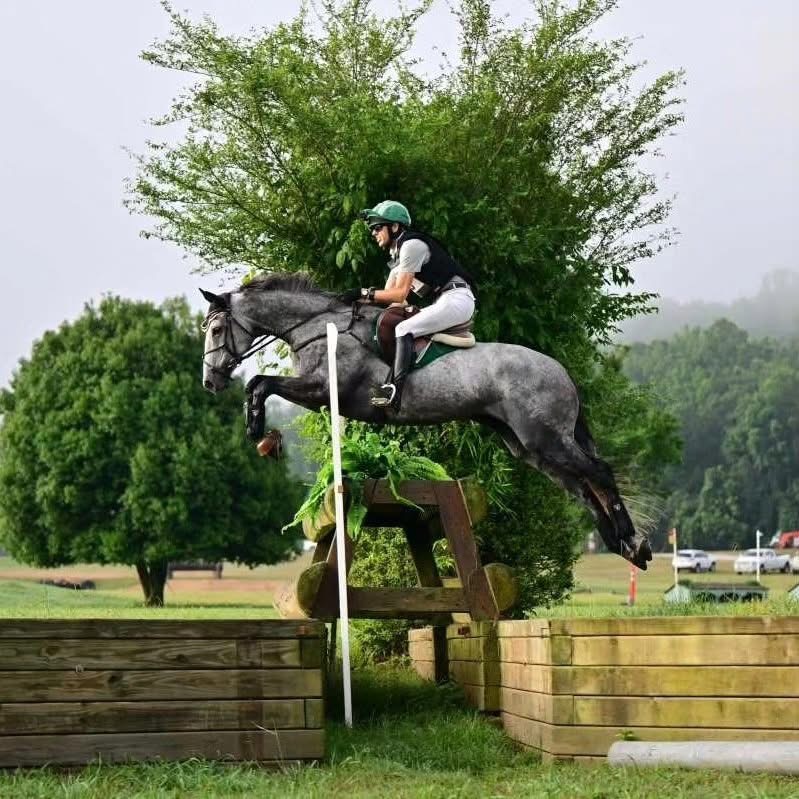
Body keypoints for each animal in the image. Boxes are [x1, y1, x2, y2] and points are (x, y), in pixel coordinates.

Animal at [200, 273, 652, 570]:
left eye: (218, 329)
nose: (210, 381)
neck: (319, 327)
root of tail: (561, 372)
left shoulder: (321, 388)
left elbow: (260, 383)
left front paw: (259, 431)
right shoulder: (320, 395)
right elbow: (260, 383)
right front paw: (261, 433)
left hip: (546, 438)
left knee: (599, 472)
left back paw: (633, 542)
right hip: (527, 446)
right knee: (580, 486)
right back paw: (623, 544)